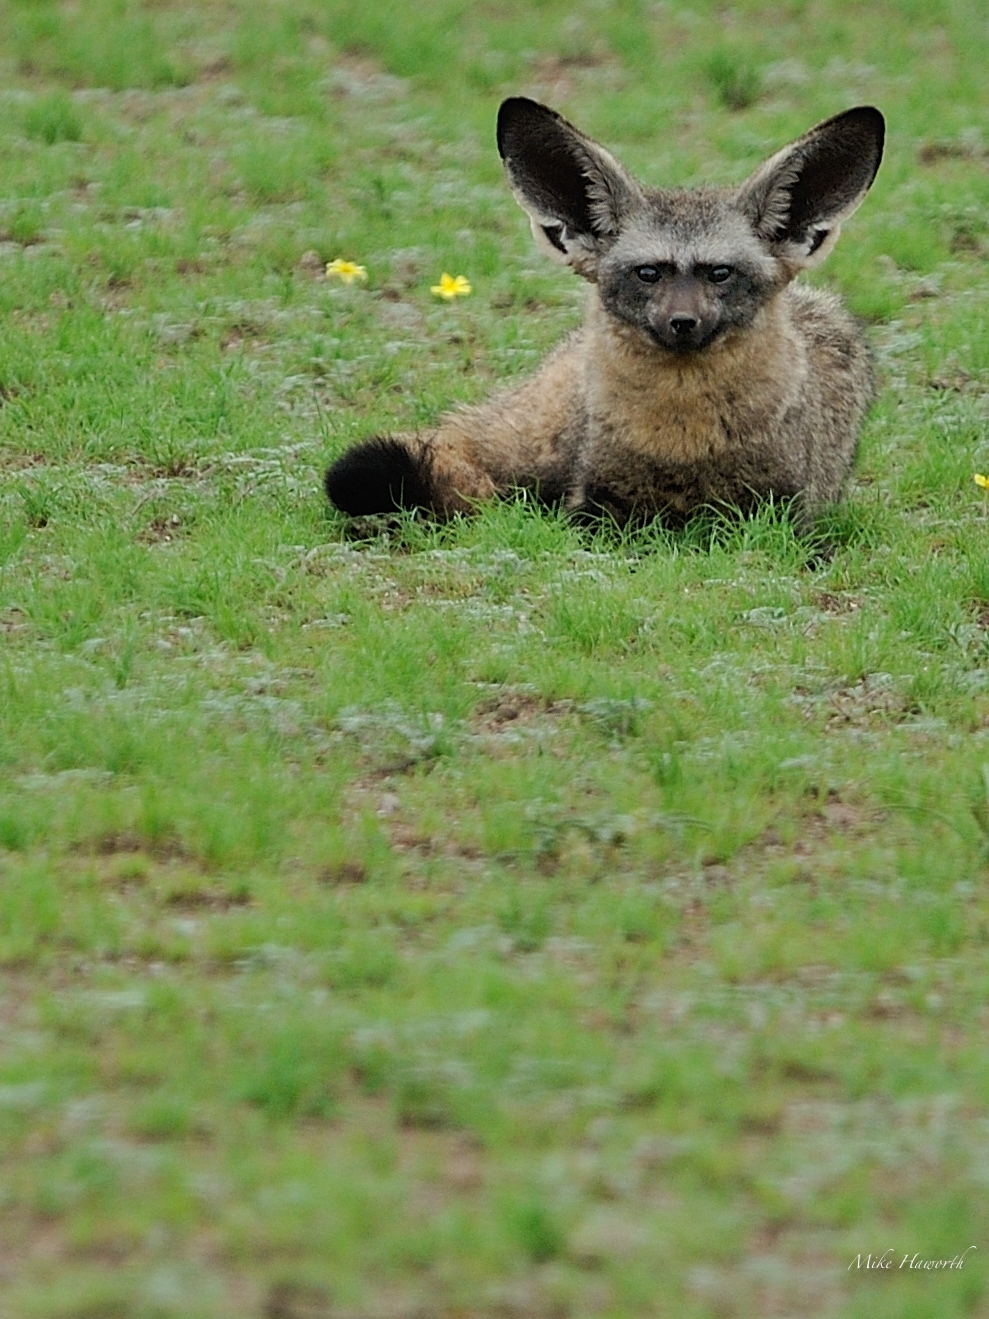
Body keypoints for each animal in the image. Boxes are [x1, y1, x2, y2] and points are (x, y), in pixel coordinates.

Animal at [324, 97, 884, 530]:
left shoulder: (782, 511)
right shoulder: (596, 507)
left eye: (720, 274)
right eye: (648, 273)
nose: (683, 323)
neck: (683, 440)